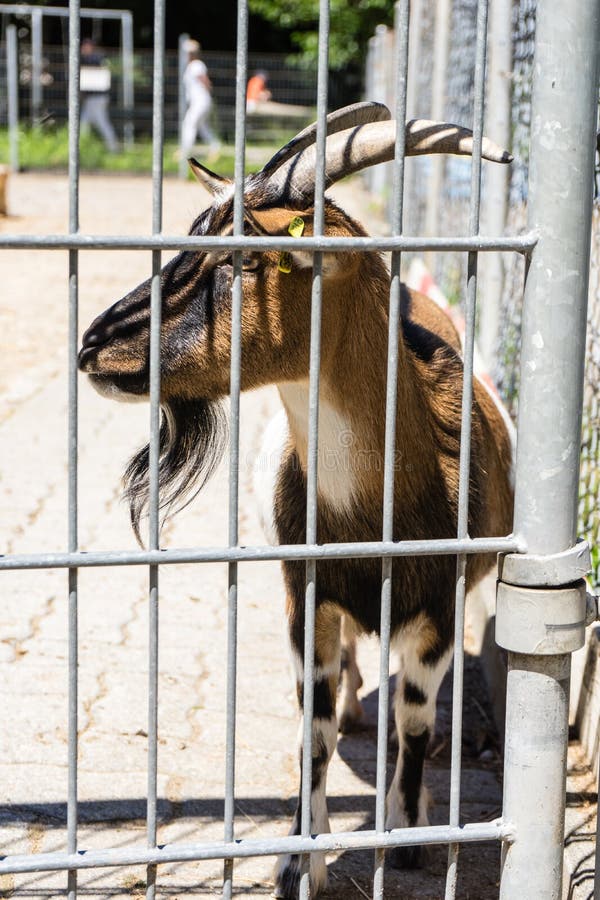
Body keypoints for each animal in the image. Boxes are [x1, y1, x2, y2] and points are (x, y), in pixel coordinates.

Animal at [78, 102, 514, 898]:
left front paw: (407, 832)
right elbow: (312, 730)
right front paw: (294, 864)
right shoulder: (305, 592)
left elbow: (414, 721)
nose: (95, 344)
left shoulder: (440, 606)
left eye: (242, 260)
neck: (375, 511)